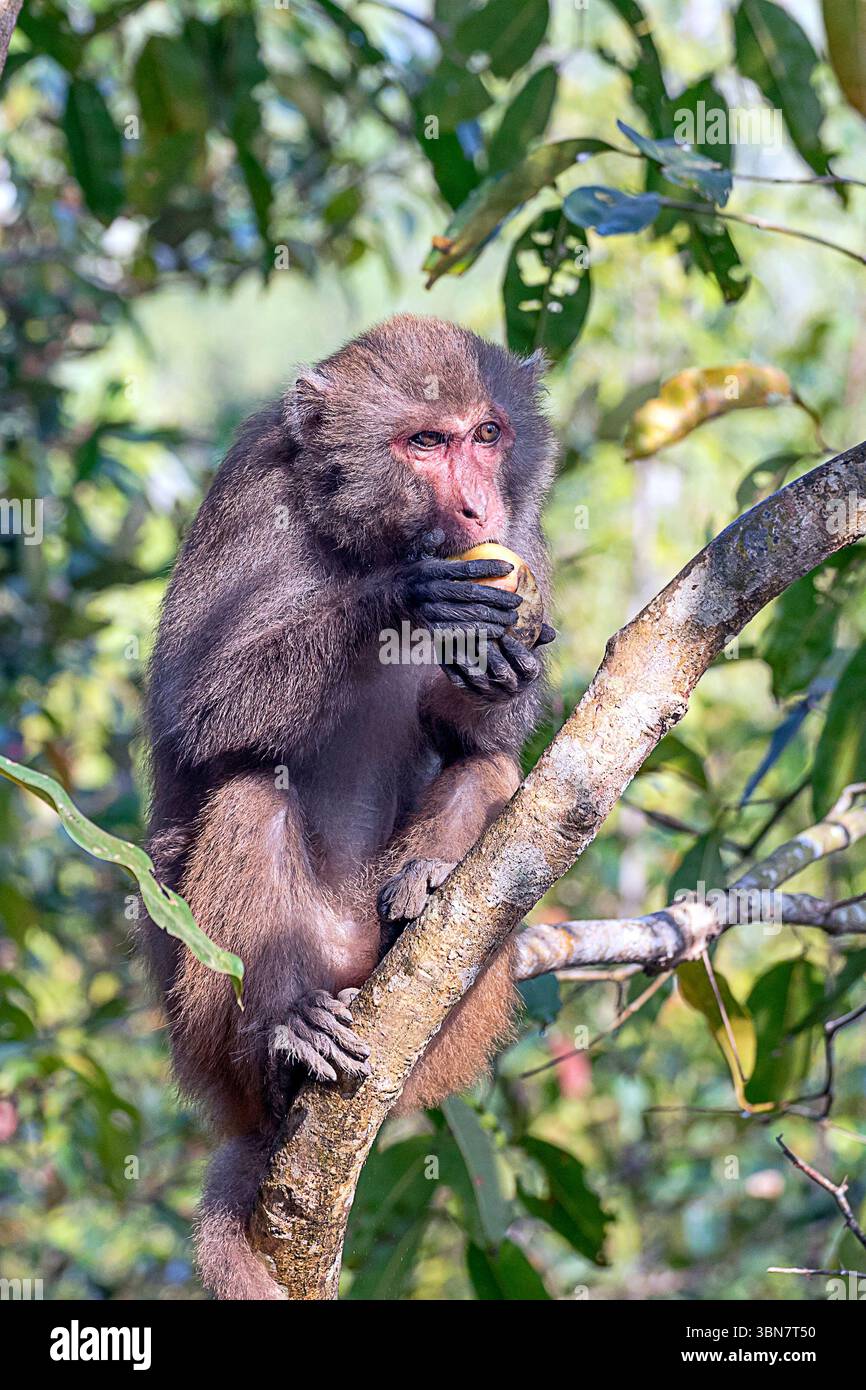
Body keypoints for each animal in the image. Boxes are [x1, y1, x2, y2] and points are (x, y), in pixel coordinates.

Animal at [142, 314, 556, 1299]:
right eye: (426, 443)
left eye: (488, 435)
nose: (477, 513)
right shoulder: (248, 489)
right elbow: (201, 704)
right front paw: (415, 594)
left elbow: (483, 736)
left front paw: (500, 663)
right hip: (204, 1026)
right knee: (252, 789)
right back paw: (285, 1039)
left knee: (490, 776)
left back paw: (427, 885)